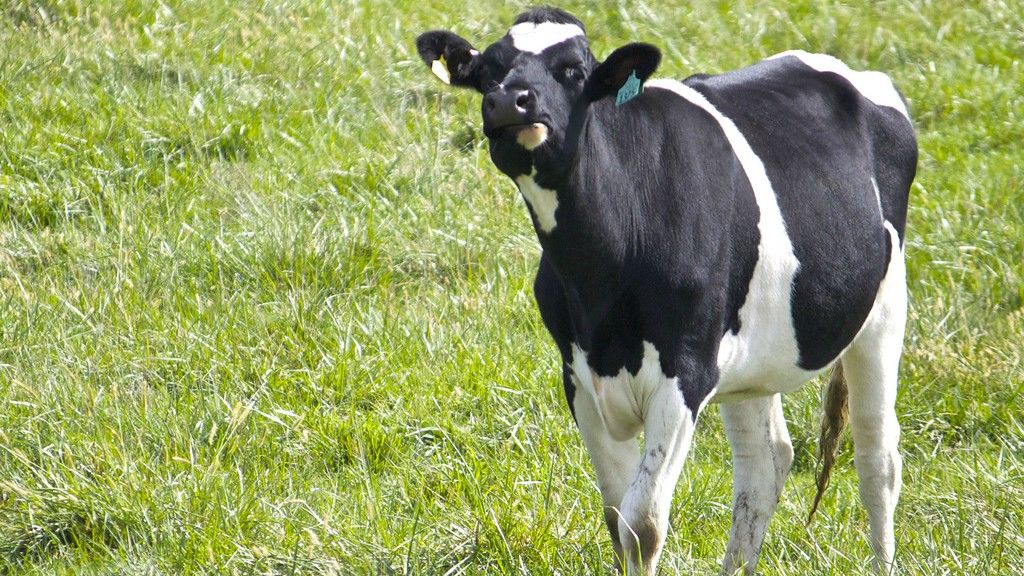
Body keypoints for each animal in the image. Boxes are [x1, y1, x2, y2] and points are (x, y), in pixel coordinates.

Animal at [416, 7, 916, 575]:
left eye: (573, 70)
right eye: (487, 73)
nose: (509, 101)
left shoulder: (686, 372)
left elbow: (642, 524)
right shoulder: (578, 377)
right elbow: (616, 517)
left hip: (884, 311)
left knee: (878, 458)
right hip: (752, 357)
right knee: (764, 466)